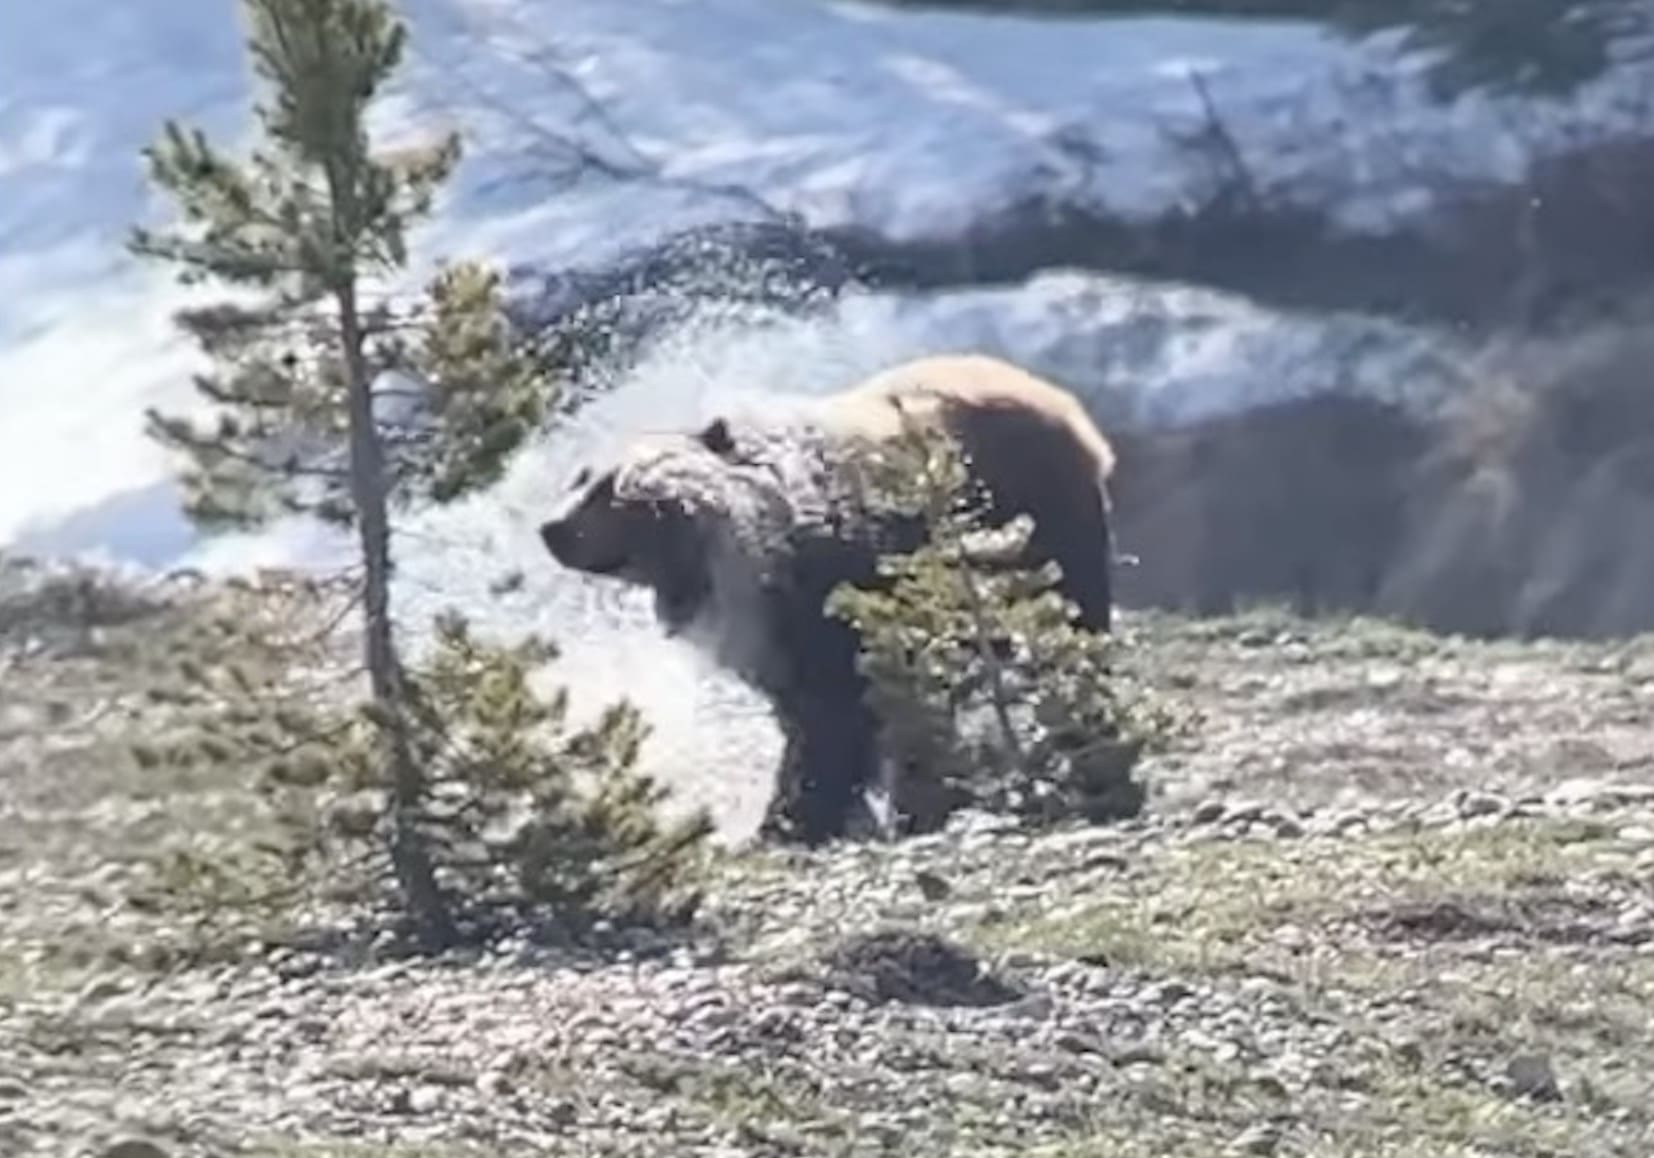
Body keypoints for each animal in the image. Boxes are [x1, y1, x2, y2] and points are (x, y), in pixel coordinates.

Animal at [537, 353, 1118, 846]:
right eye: (580, 477)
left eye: (611, 487)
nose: (552, 528)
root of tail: (1071, 410)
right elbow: (812, 712)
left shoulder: (829, 594)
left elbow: (834, 713)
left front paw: (793, 818)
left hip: (1044, 528)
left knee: (1074, 625)